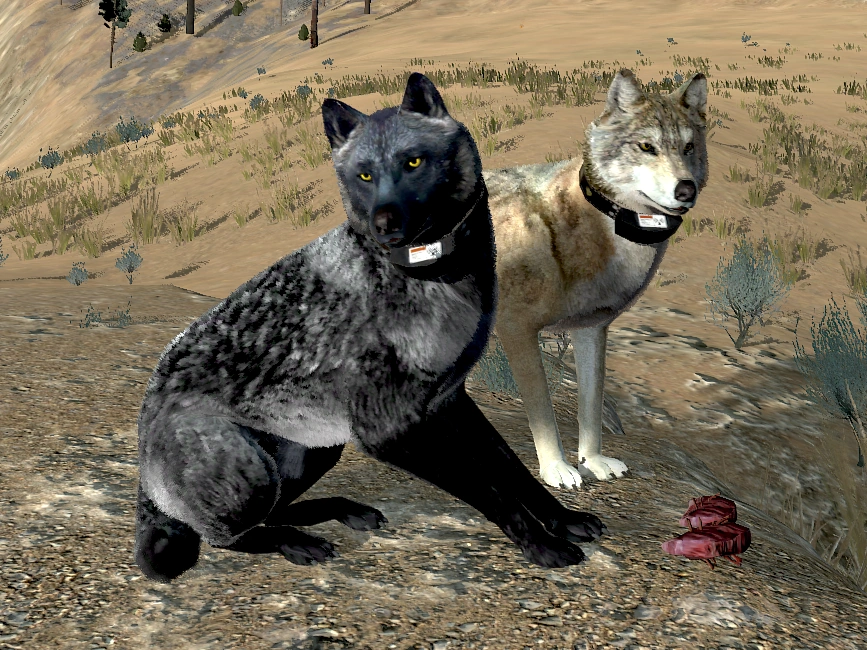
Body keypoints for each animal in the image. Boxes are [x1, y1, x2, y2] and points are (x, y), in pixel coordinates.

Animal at [134, 73, 606, 583]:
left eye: (413, 162)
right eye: (364, 176)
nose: (383, 225)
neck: (430, 278)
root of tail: (143, 441)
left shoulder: (450, 402)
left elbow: (512, 469)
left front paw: (565, 519)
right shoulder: (393, 433)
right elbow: (492, 492)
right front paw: (542, 545)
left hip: (313, 451)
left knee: (275, 511)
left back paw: (346, 511)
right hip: (253, 474)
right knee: (230, 537)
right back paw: (297, 543)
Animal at [486, 69, 708, 489]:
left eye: (689, 147)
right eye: (646, 146)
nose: (686, 189)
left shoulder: (591, 330)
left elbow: (591, 404)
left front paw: (593, 461)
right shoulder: (516, 330)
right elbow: (543, 410)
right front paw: (557, 468)